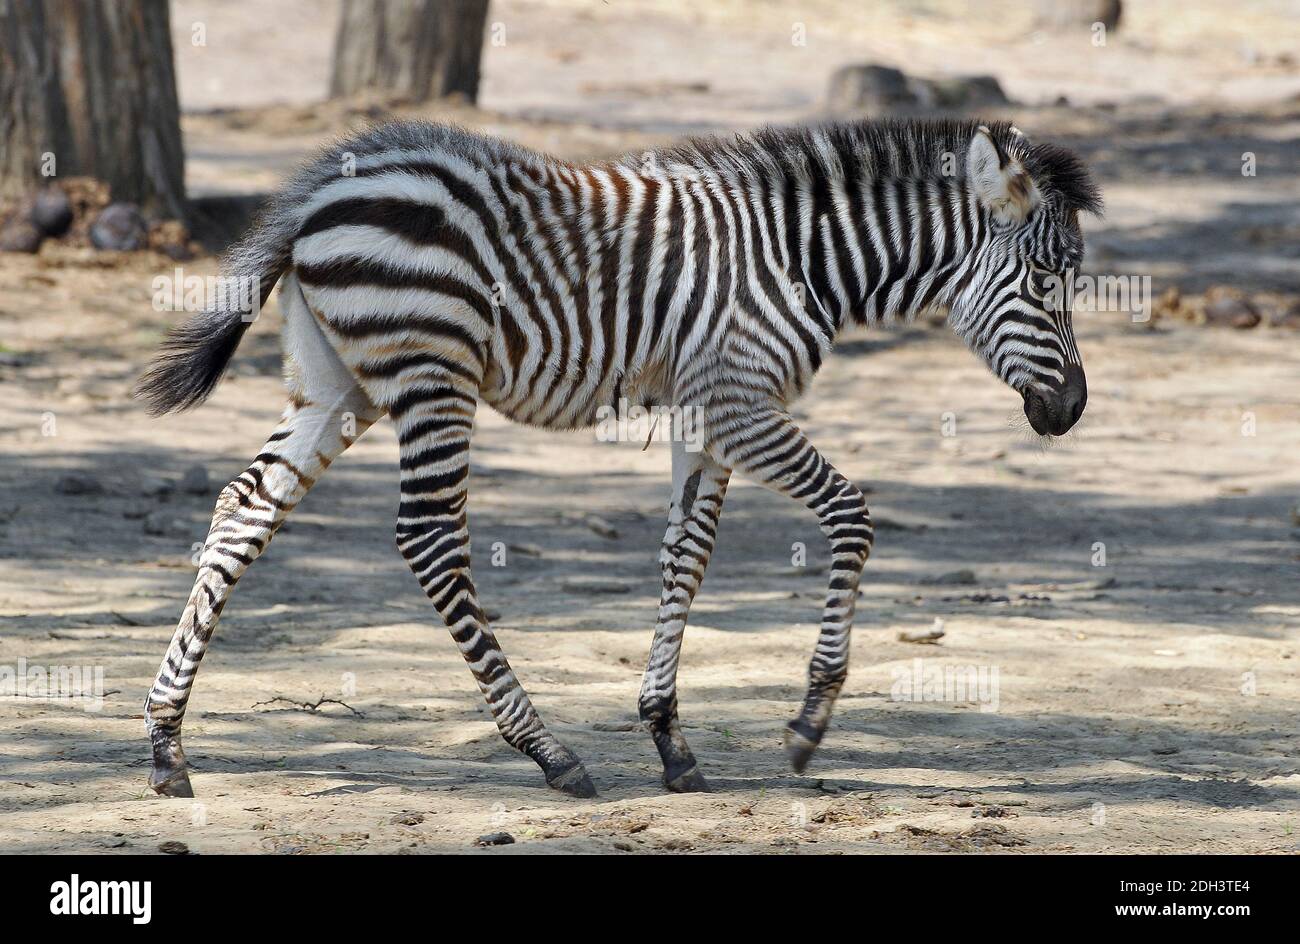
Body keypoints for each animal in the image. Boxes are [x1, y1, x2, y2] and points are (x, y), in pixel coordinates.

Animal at [137, 117, 1100, 799]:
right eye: (1046, 280)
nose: (1072, 411)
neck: (803, 260)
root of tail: (320, 189)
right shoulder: (742, 401)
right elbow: (851, 515)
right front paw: (810, 719)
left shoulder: (706, 413)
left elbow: (687, 556)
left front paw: (670, 738)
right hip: (431, 372)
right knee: (430, 539)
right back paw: (549, 752)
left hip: (339, 382)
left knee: (244, 510)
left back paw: (167, 744)